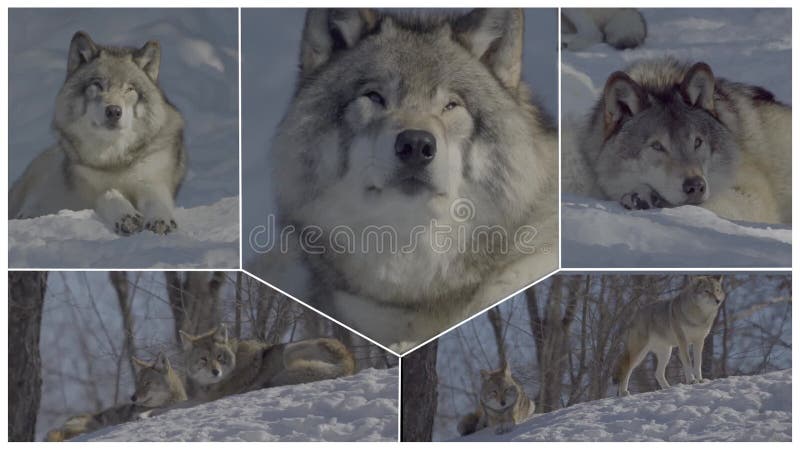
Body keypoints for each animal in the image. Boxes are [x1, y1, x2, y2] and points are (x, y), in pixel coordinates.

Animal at [9, 31, 186, 235]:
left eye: (130, 88)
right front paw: (127, 216)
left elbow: (156, 199)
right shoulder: (86, 191)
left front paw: (161, 219)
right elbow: (108, 194)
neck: (114, 160)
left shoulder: (154, 179)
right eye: (98, 85)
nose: (114, 111)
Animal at [578, 57, 791, 224]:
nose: (696, 186)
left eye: (697, 142)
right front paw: (641, 197)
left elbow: (705, 205)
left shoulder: (755, 196)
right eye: (657, 146)